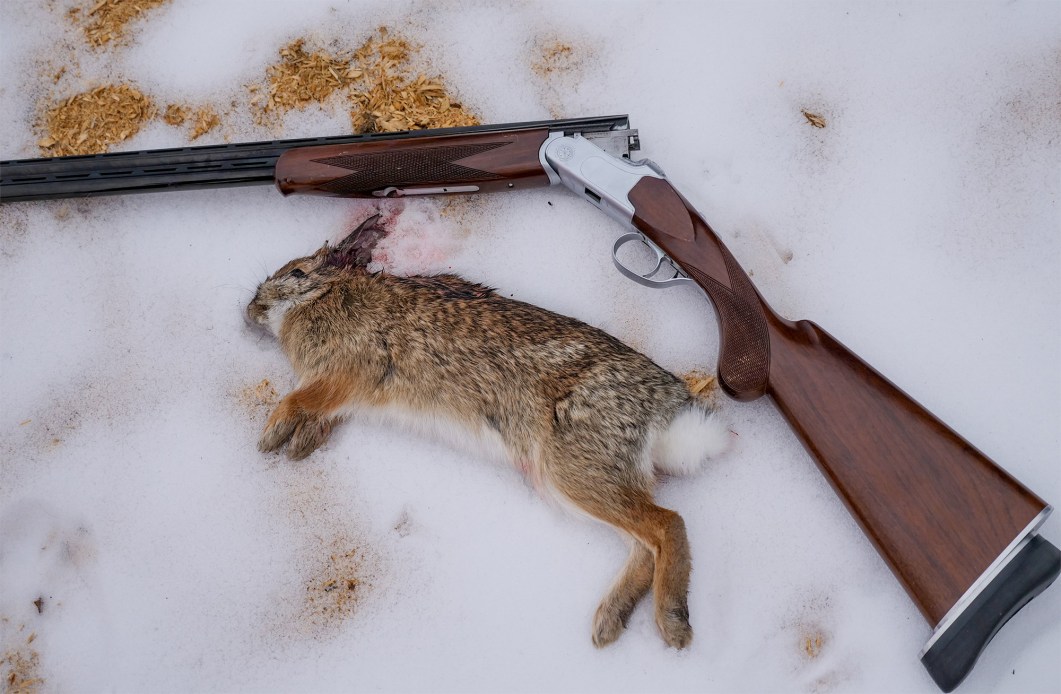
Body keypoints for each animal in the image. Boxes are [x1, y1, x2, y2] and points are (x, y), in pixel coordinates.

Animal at [246, 214, 730, 649]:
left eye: (297, 273)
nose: (250, 309)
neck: (328, 295)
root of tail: (668, 411)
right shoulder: (345, 396)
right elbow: (322, 414)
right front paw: (300, 445)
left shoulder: (345, 371)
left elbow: (298, 399)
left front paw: (270, 436)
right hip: (573, 481)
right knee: (643, 544)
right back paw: (609, 622)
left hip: (574, 469)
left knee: (667, 524)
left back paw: (672, 624)